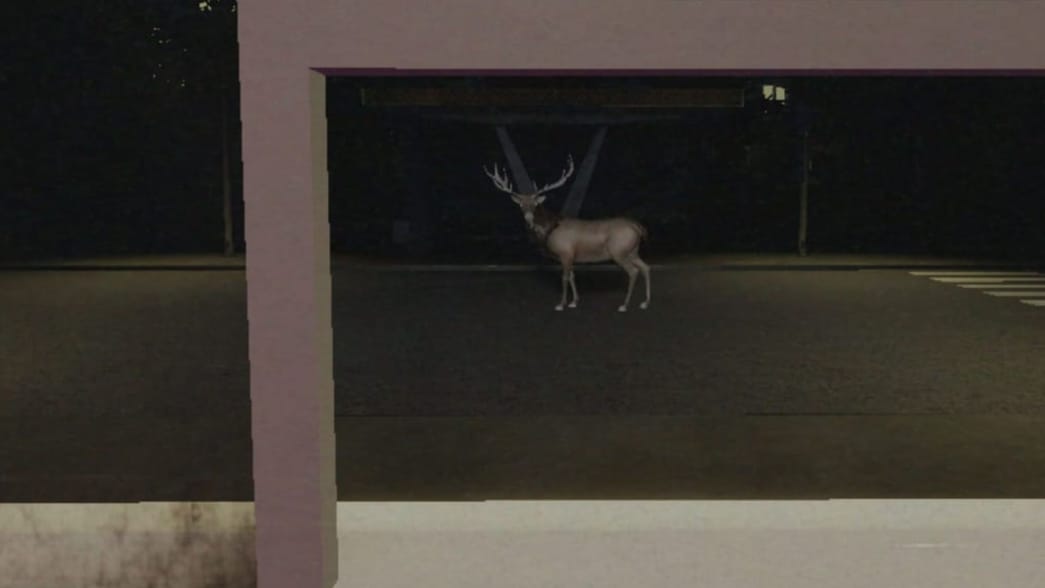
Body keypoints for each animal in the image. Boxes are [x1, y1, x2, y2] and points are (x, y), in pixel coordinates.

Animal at [483, 155, 651, 312]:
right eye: (521, 205)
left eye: (535, 204)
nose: (529, 219)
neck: (549, 230)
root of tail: (637, 227)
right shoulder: (571, 256)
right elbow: (572, 276)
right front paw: (574, 302)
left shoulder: (565, 253)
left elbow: (564, 278)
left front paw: (561, 304)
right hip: (633, 250)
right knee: (645, 267)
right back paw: (645, 302)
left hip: (619, 251)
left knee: (633, 271)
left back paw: (624, 305)